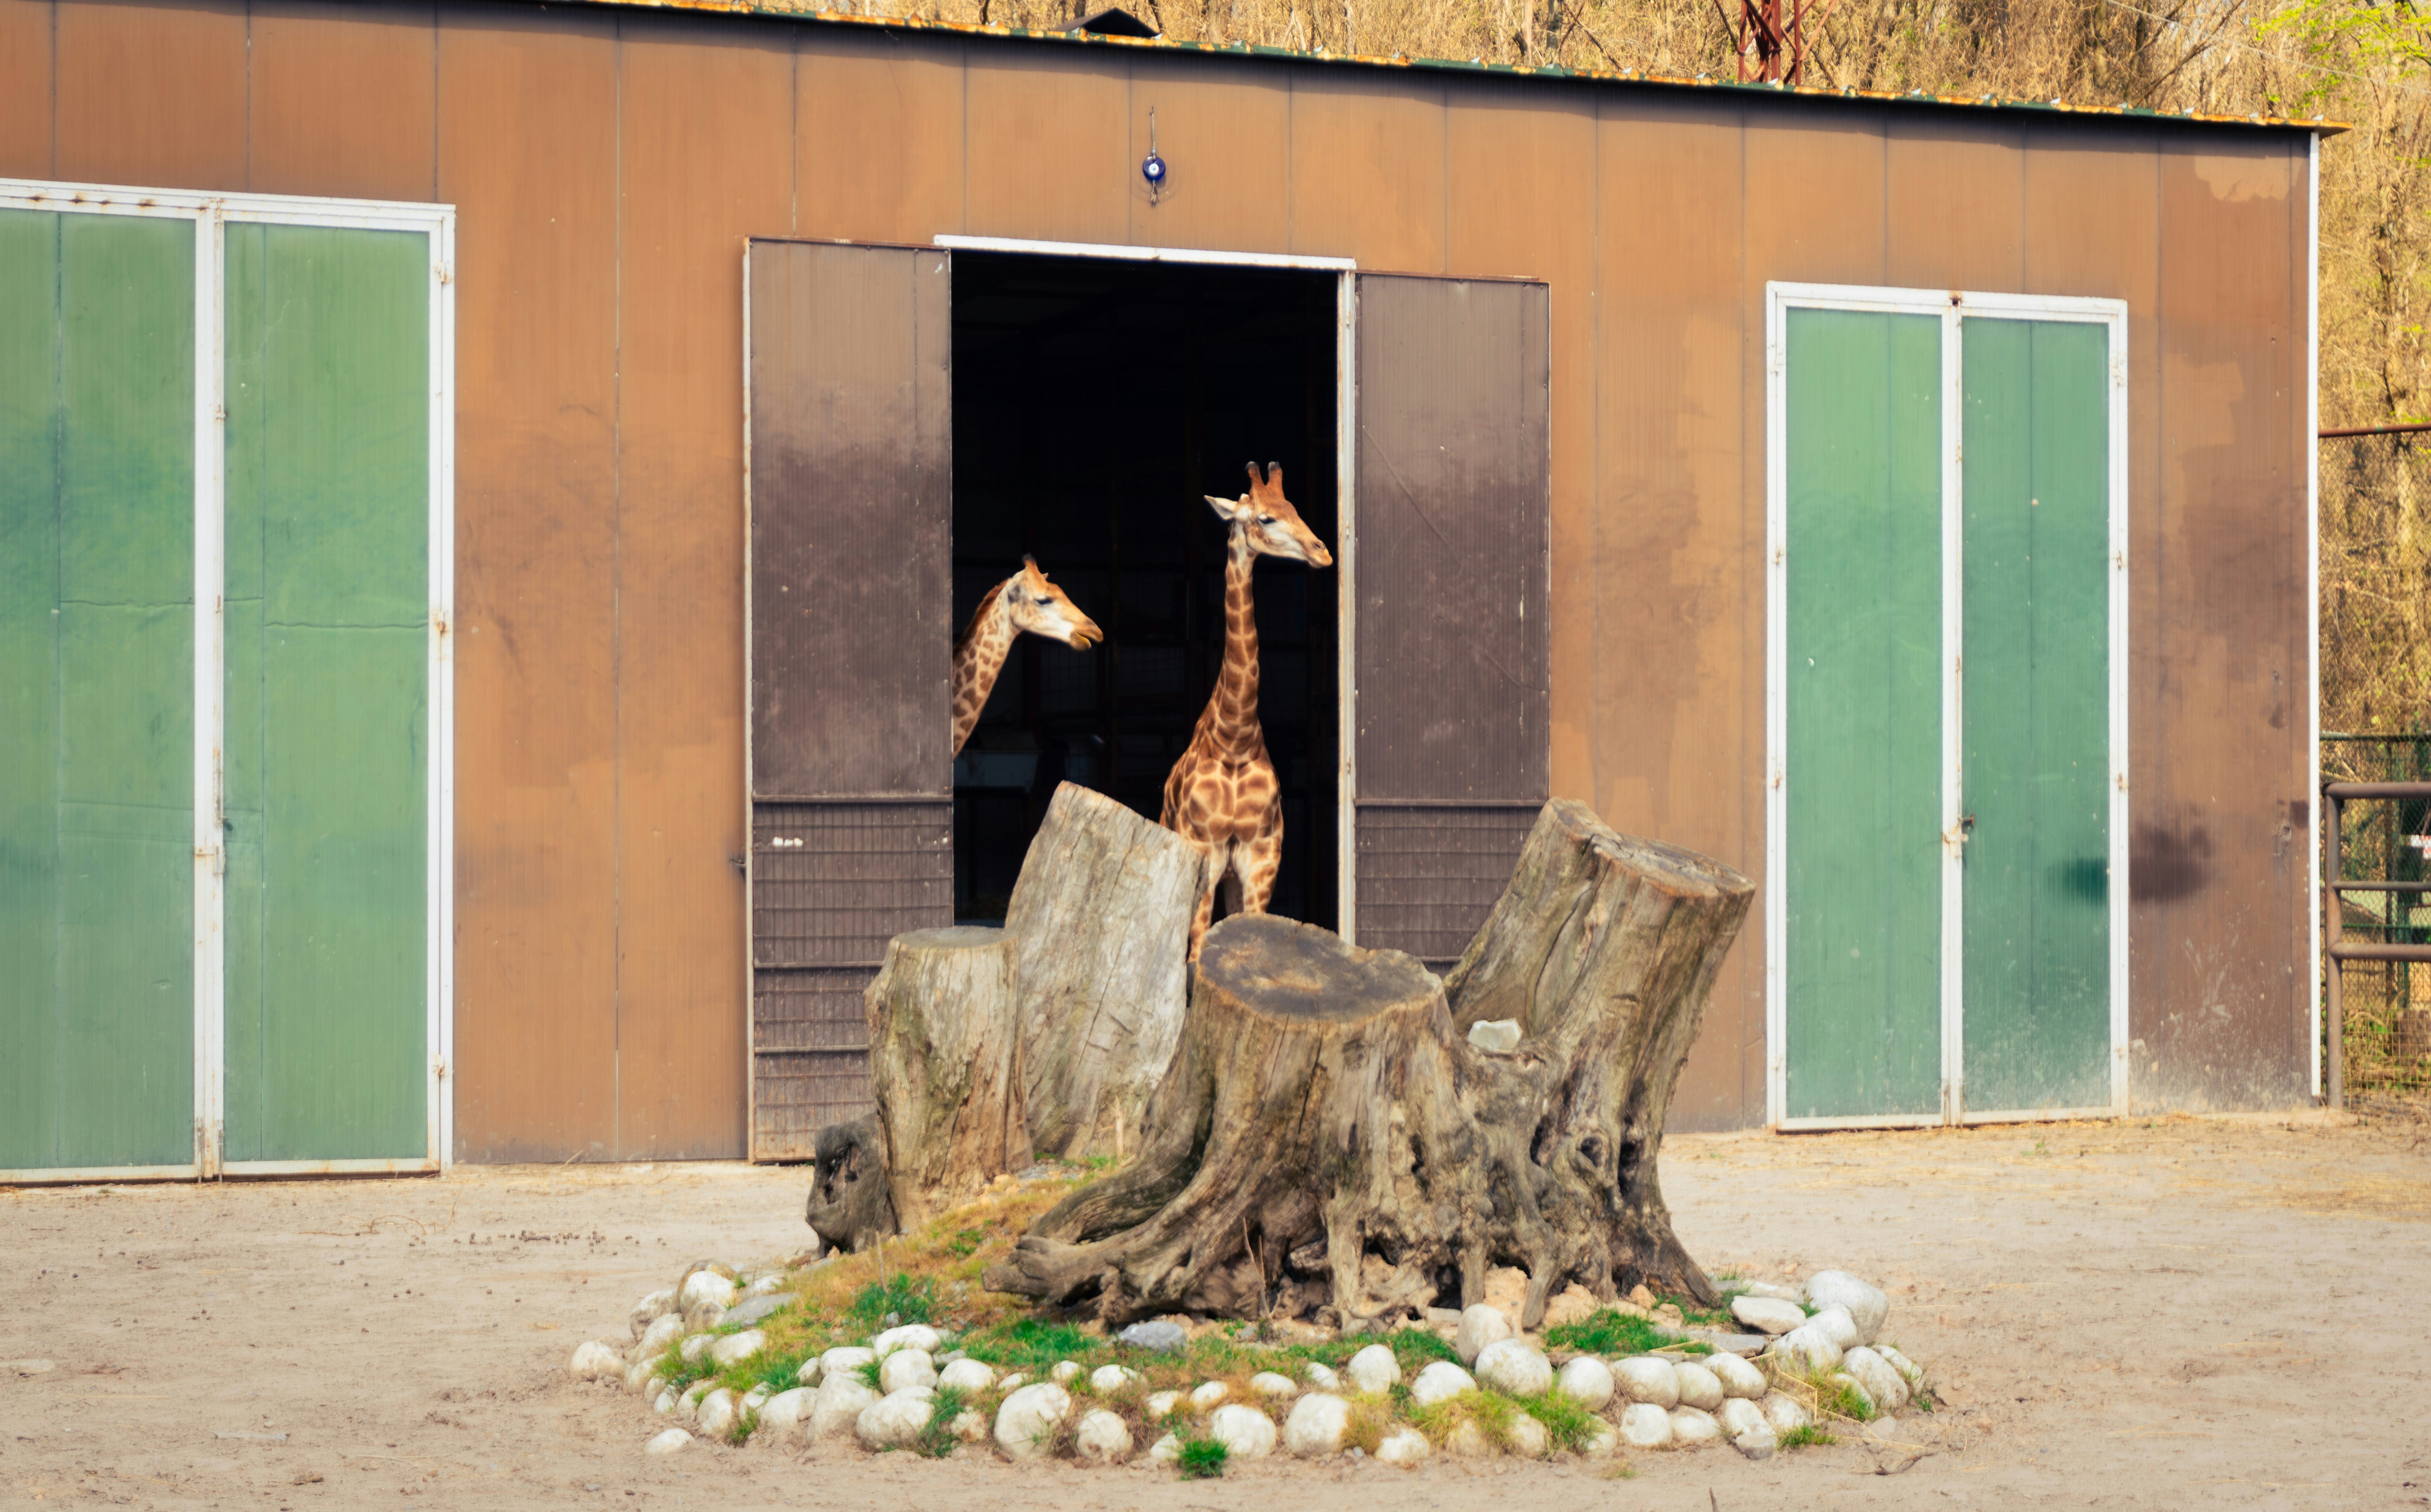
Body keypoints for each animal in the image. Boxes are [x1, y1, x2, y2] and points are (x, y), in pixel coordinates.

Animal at [1160, 461, 1334, 959]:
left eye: (1294, 508)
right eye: (1267, 518)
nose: (1323, 553)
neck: (1235, 739)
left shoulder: (1260, 856)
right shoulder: (1207, 849)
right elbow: (1197, 953)